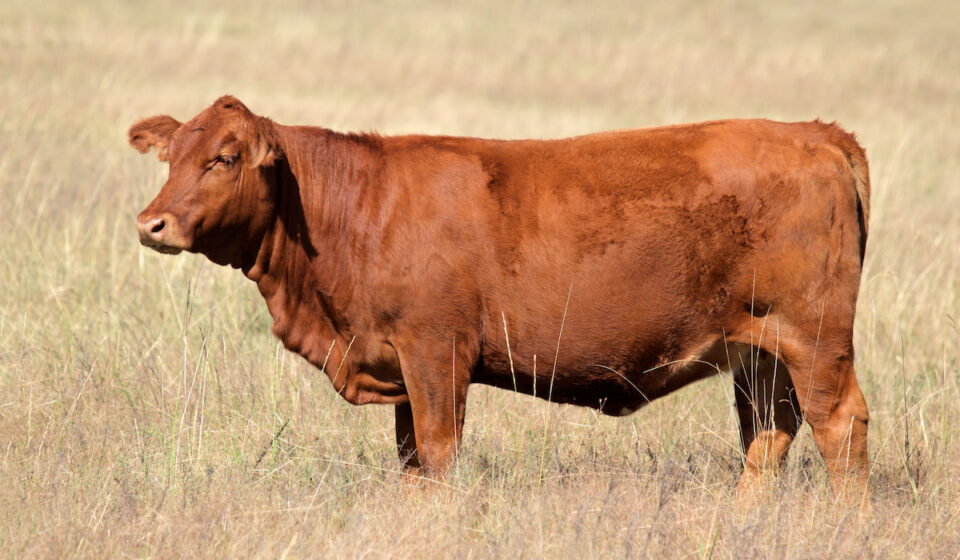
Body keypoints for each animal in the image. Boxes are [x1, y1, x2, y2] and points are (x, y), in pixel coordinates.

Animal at [131, 96, 871, 496]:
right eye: (171, 158)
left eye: (224, 158)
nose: (151, 223)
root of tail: (813, 133)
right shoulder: (402, 368)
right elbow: (411, 464)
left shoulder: (434, 351)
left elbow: (437, 456)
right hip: (761, 351)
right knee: (769, 435)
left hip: (815, 337)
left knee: (841, 426)